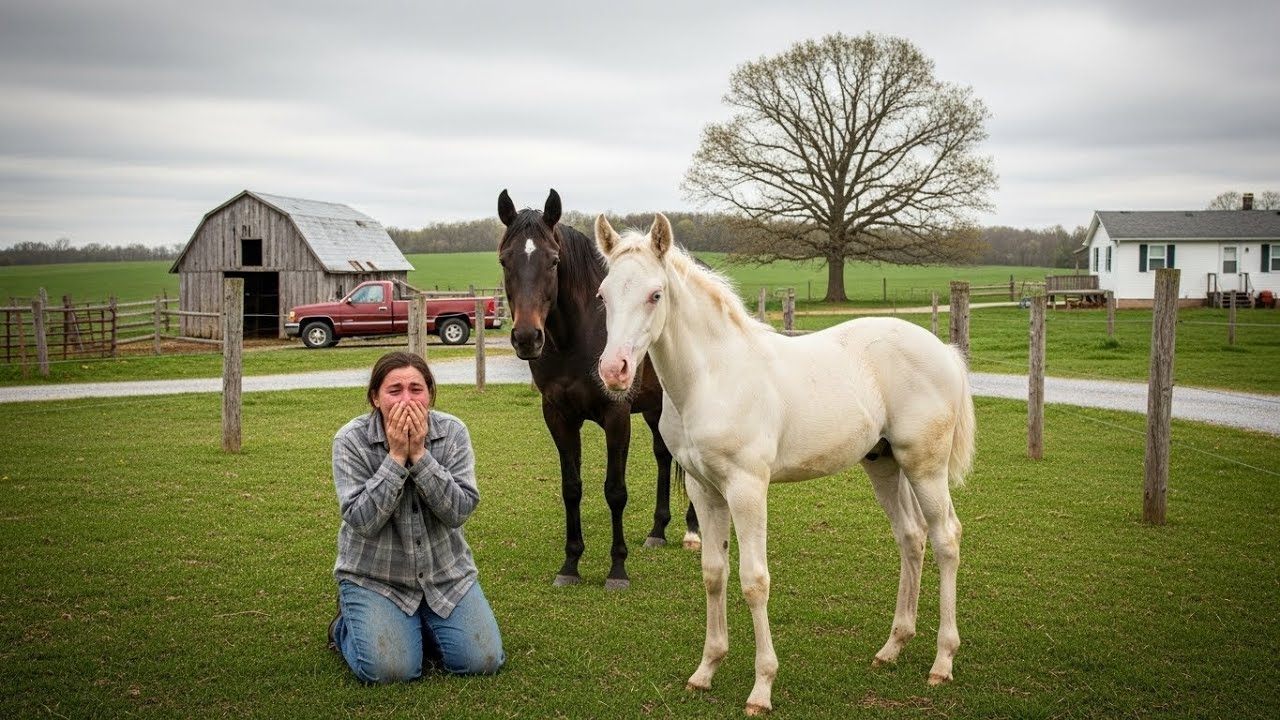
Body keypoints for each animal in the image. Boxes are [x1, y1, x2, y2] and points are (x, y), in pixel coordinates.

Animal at [497, 189, 699, 591]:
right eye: (504, 260)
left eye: (554, 261)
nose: (527, 337)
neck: (576, 339)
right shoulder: (558, 415)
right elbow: (571, 488)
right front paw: (570, 564)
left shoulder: (616, 415)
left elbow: (615, 491)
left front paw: (617, 569)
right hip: (655, 408)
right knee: (663, 455)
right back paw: (658, 530)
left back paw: (693, 530)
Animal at [592, 213, 975, 714]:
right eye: (602, 294)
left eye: (656, 294)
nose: (613, 371)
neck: (713, 377)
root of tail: (944, 351)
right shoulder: (704, 489)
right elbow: (713, 573)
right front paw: (705, 670)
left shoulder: (747, 488)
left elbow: (754, 580)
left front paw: (762, 688)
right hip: (884, 463)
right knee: (911, 537)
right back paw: (892, 647)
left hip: (924, 466)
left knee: (946, 537)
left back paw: (942, 662)